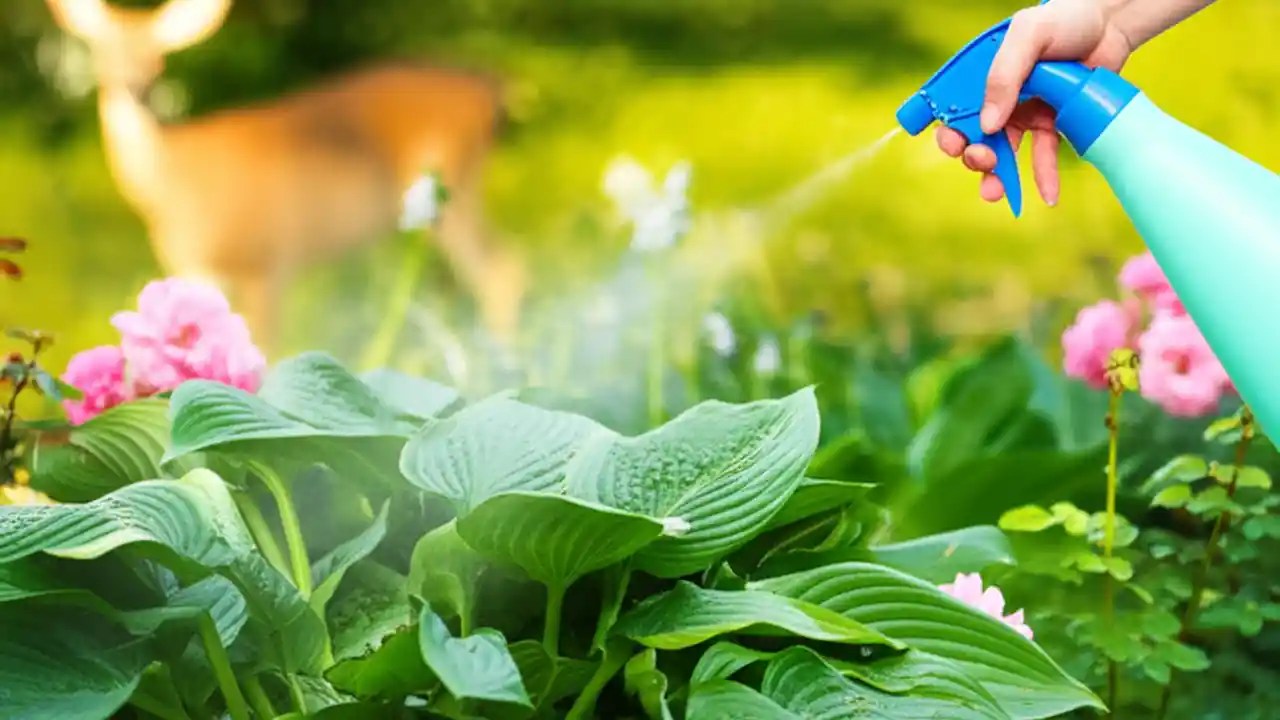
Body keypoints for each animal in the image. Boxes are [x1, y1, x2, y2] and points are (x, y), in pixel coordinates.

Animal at [44, 0, 526, 353]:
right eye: (100, 49)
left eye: (159, 54)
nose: (133, 84)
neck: (170, 183)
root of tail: (491, 89)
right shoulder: (196, 271)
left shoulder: (263, 263)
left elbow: (266, 352)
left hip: (453, 186)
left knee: (502, 272)